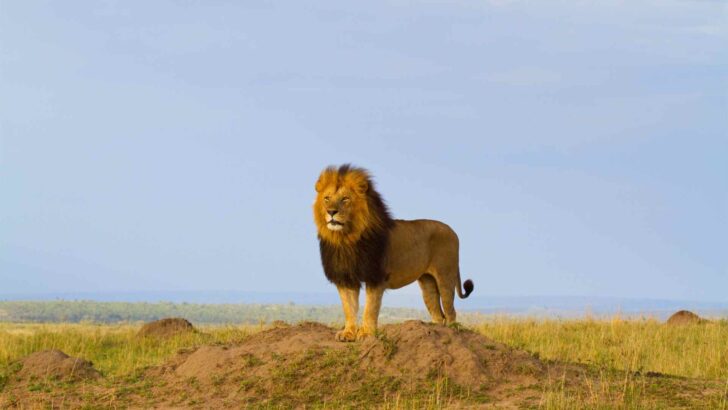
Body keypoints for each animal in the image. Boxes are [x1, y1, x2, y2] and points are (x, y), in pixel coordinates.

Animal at [314, 164, 474, 342]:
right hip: (428, 282)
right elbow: (349, 308)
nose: (331, 212)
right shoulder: (346, 278)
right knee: (438, 313)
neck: (346, 239)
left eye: (345, 199)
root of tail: (452, 230)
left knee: (450, 312)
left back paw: (452, 333)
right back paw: (433, 331)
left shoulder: (375, 277)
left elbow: (370, 308)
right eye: (327, 198)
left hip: (445, 275)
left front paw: (366, 333)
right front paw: (348, 333)